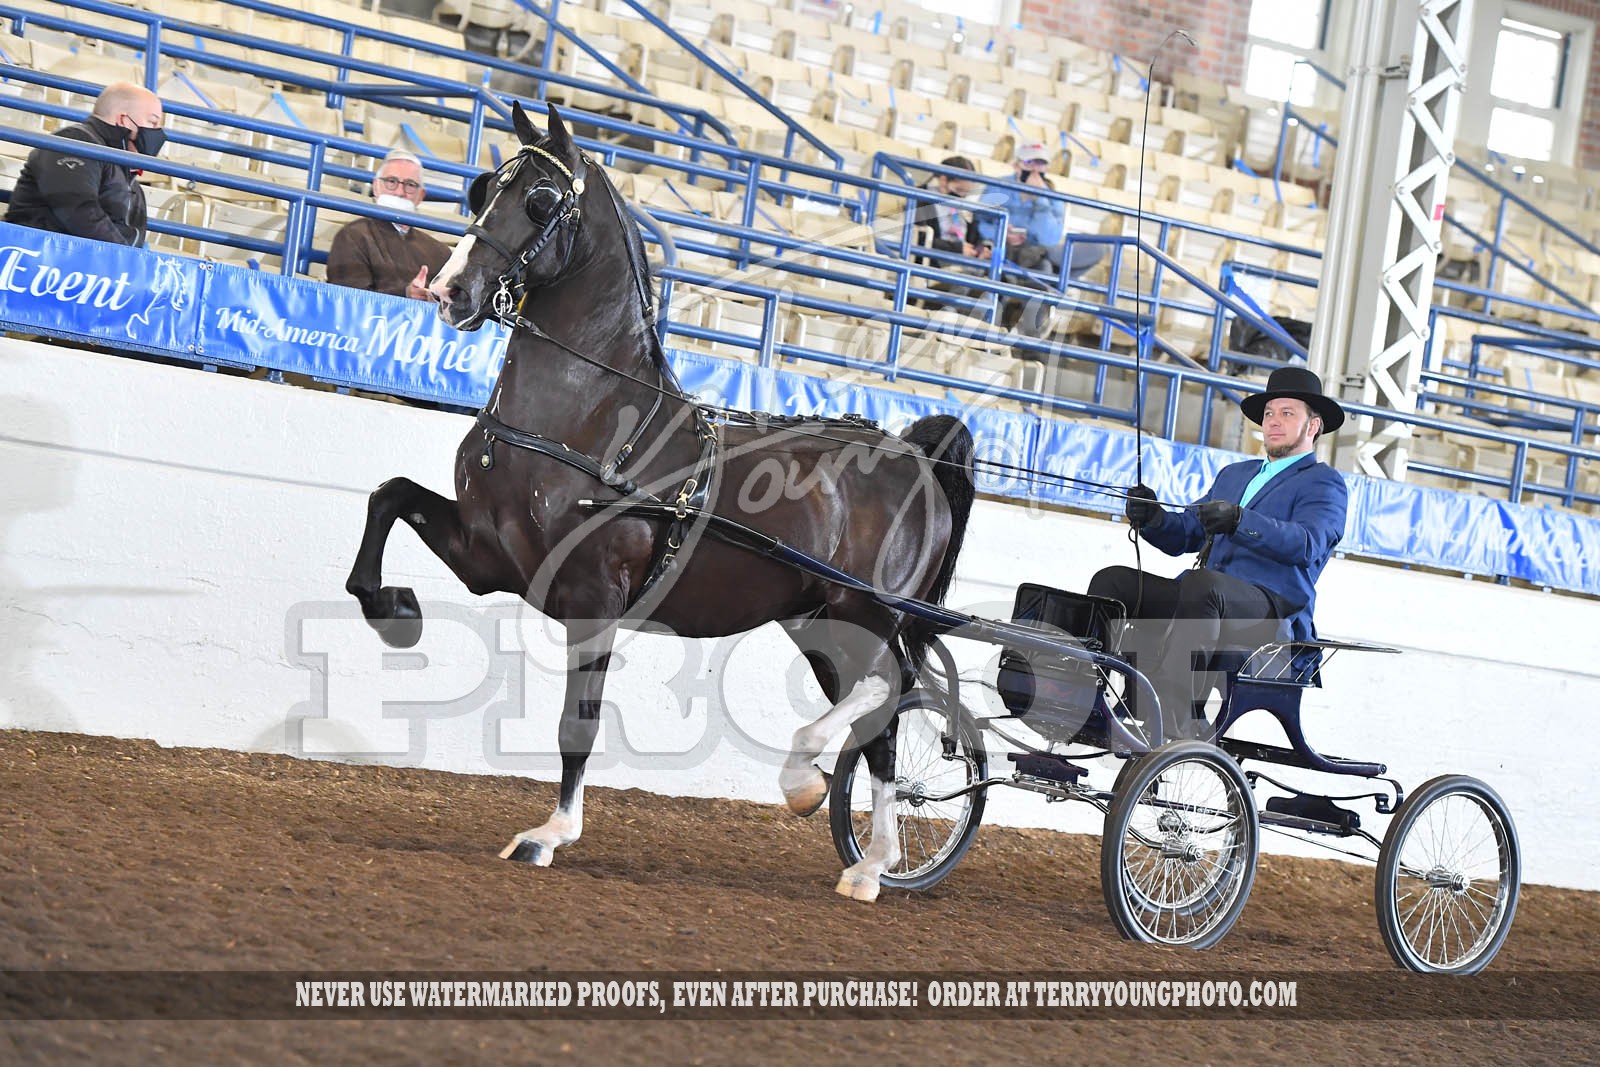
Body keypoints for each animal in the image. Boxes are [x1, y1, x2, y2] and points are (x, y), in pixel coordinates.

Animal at [345, 101, 975, 902]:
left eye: (541, 200)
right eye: (483, 188)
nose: (451, 291)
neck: (590, 417)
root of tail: (912, 454)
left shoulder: (593, 598)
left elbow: (576, 724)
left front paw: (550, 833)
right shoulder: (487, 558)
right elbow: (388, 496)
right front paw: (391, 607)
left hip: (865, 612)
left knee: (887, 689)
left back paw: (828, 802)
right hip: (819, 620)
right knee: (882, 719)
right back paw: (864, 856)